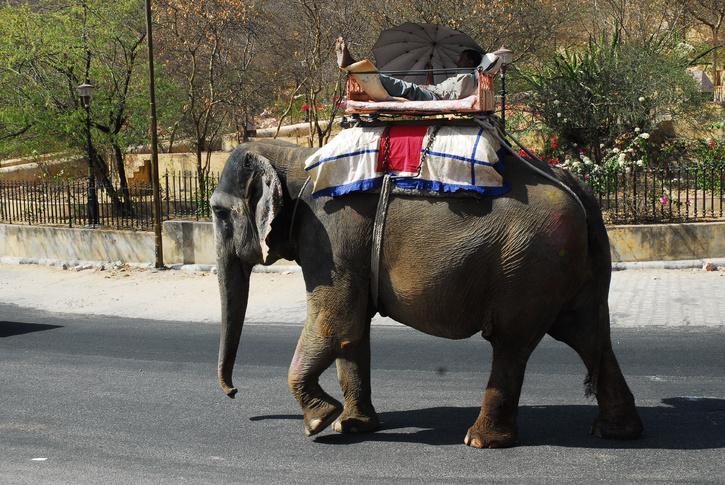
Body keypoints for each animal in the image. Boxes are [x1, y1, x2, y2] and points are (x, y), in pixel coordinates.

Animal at [210, 138, 644, 448]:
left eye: (217, 212)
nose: (232, 393)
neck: (294, 157)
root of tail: (573, 184)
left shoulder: (331, 236)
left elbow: (336, 323)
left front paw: (319, 421)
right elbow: (352, 332)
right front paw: (352, 427)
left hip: (528, 264)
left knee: (512, 342)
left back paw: (480, 440)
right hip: (566, 267)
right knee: (588, 334)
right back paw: (617, 431)